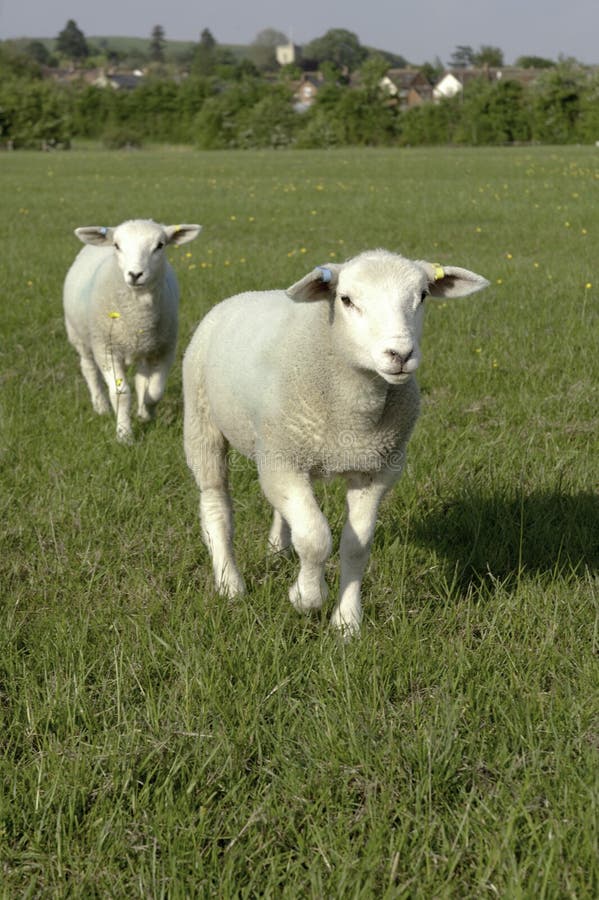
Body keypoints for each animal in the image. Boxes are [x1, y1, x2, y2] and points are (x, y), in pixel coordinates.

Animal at [63, 218, 201, 443]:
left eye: (160, 245)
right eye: (117, 246)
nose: (135, 274)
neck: (137, 317)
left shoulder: (164, 349)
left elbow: (155, 390)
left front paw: (145, 414)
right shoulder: (106, 348)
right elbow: (121, 393)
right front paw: (124, 434)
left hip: (145, 347)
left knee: (141, 379)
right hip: (79, 335)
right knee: (88, 368)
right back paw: (100, 406)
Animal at [183, 249, 489, 635]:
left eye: (422, 297)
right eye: (346, 300)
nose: (400, 355)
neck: (353, 417)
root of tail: (241, 296)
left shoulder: (374, 471)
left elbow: (356, 546)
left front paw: (347, 622)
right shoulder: (283, 461)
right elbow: (315, 538)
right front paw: (306, 597)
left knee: (280, 509)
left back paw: (277, 550)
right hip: (202, 423)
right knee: (216, 504)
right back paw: (229, 583)